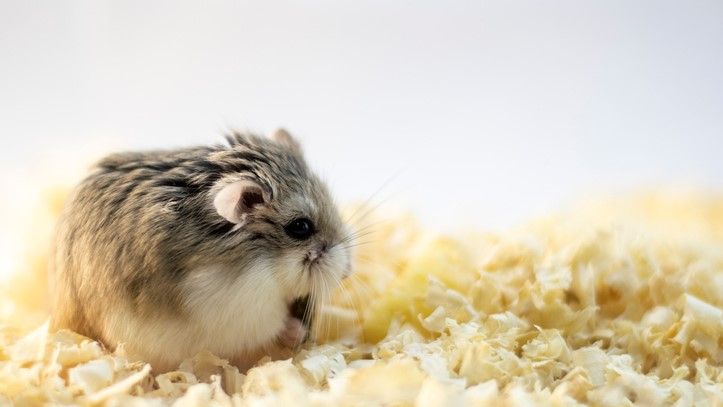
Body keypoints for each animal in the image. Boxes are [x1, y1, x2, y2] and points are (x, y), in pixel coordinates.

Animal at [49, 129, 352, 372]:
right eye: (300, 227)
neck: (263, 262)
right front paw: (296, 331)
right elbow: (274, 326)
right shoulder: (243, 311)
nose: (348, 272)